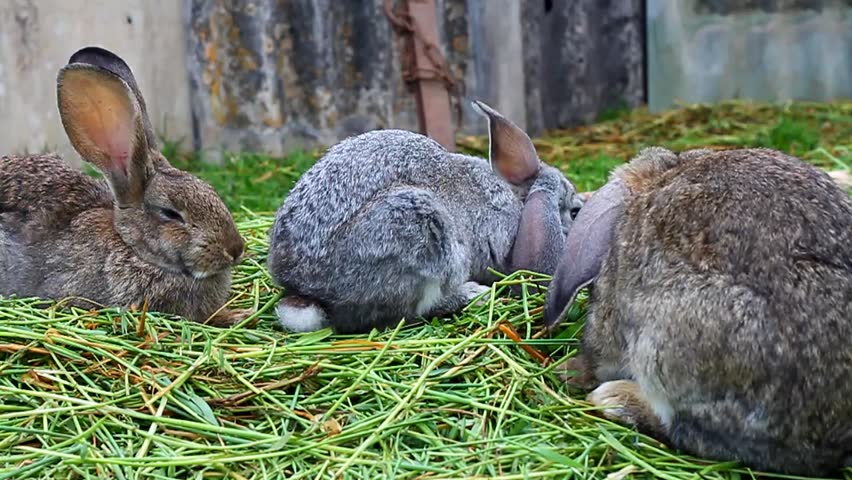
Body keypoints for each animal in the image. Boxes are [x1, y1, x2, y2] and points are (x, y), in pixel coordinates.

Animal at [268, 100, 584, 334]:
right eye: (575, 211)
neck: (517, 198)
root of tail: (309, 290)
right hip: (421, 235)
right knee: (415, 310)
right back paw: (474, 294)